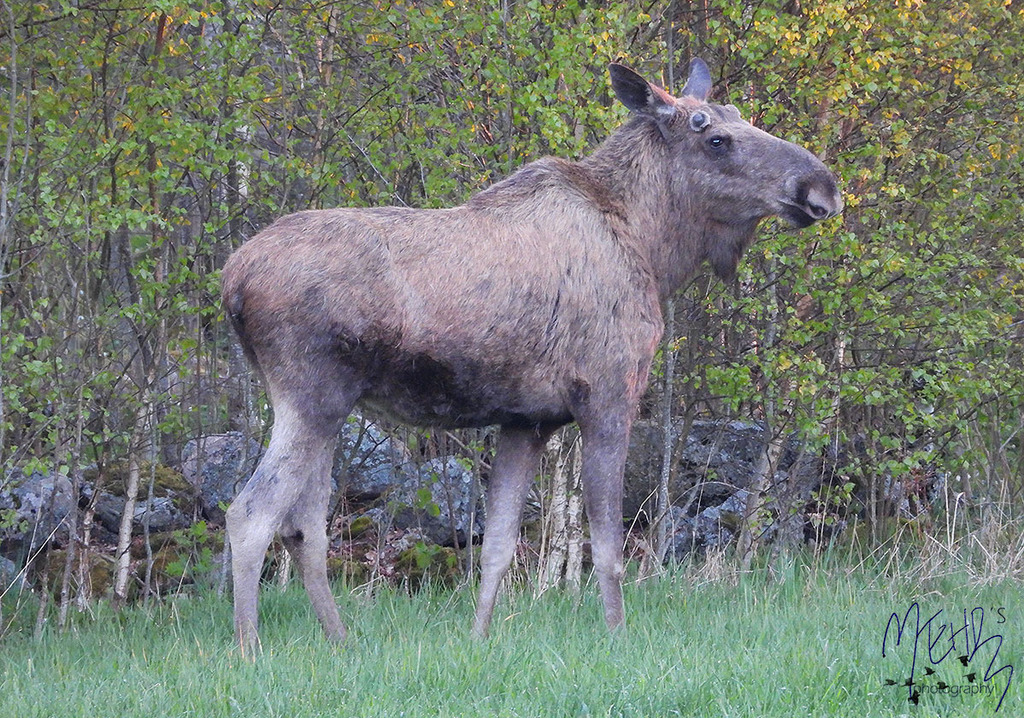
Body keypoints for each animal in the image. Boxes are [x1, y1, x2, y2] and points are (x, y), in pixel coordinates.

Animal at [220, 58, 842, 651]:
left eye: (738, 115)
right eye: (713, 136)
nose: (823, 187)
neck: (655, 251)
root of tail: (231, 283)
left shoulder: (527, 421)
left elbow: (497, 548)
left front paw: (478, 640)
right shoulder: (610, 396)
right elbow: (608, 550)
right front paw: (618, 640)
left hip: (329, 407)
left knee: (305, 527)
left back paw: (340, 642)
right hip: (311, 395)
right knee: (250, 514)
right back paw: (250, 649)